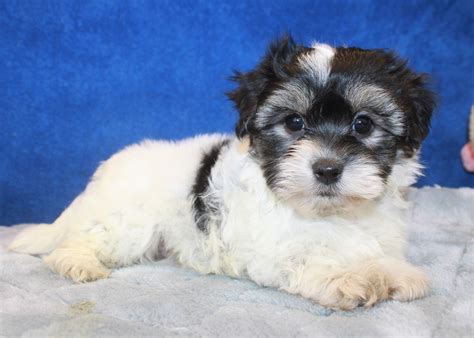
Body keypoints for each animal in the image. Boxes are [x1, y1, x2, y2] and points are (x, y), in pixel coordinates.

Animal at [9, 36, 436, 308]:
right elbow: (306, 258)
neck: (328, 213)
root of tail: (101, 178)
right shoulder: (267, 248)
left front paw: (395, 273)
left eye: (363, 124)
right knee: (77, 244)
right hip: (125, 222)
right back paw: (78, 263)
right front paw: (347, 279)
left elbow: (373, 252)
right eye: (294, 122)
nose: (327, 169)